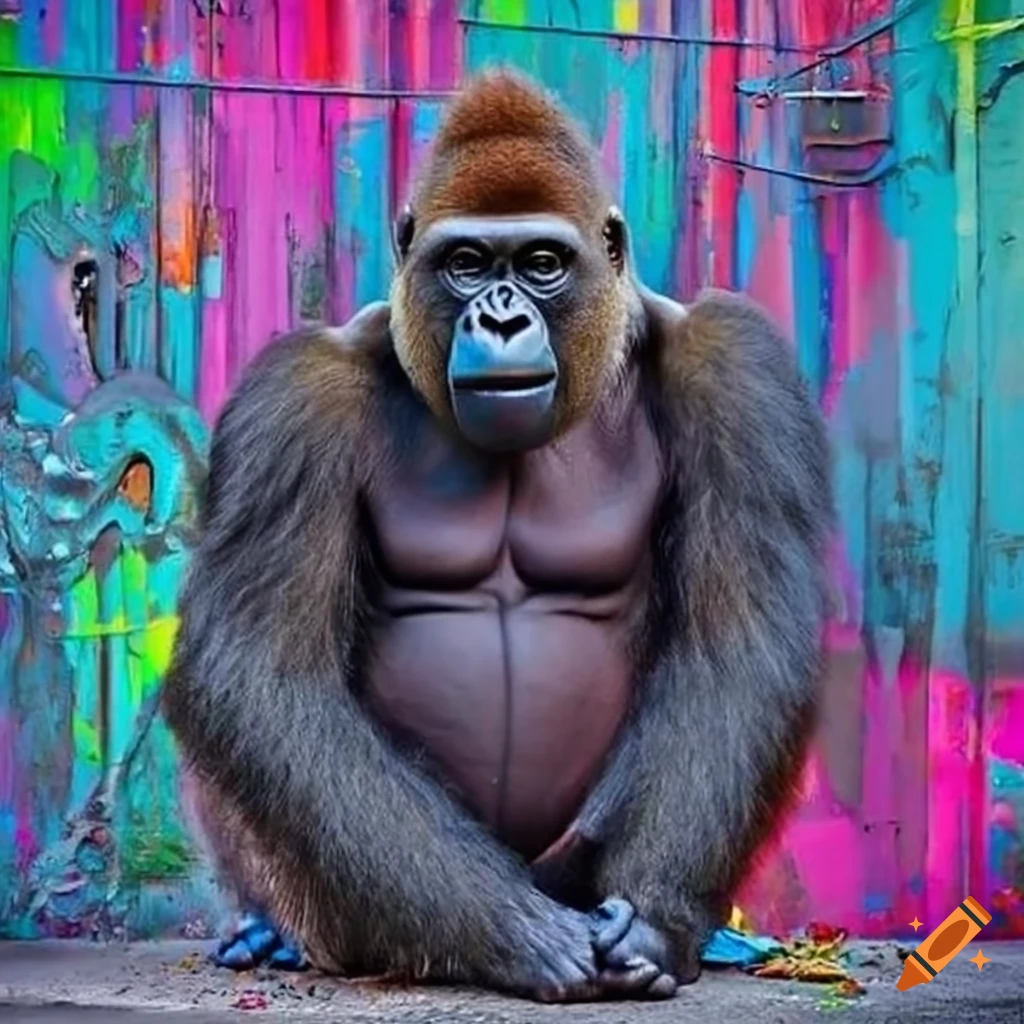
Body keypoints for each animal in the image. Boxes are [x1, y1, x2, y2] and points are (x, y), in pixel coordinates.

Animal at [162, 68, 832, 1003]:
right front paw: (517, 933)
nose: (504, 320)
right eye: (468, 264)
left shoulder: (736, 365)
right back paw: (274, 929)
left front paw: (654, 921)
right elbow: (260, 670)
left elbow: (737, 644)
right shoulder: (294, 396)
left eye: (542, 265)